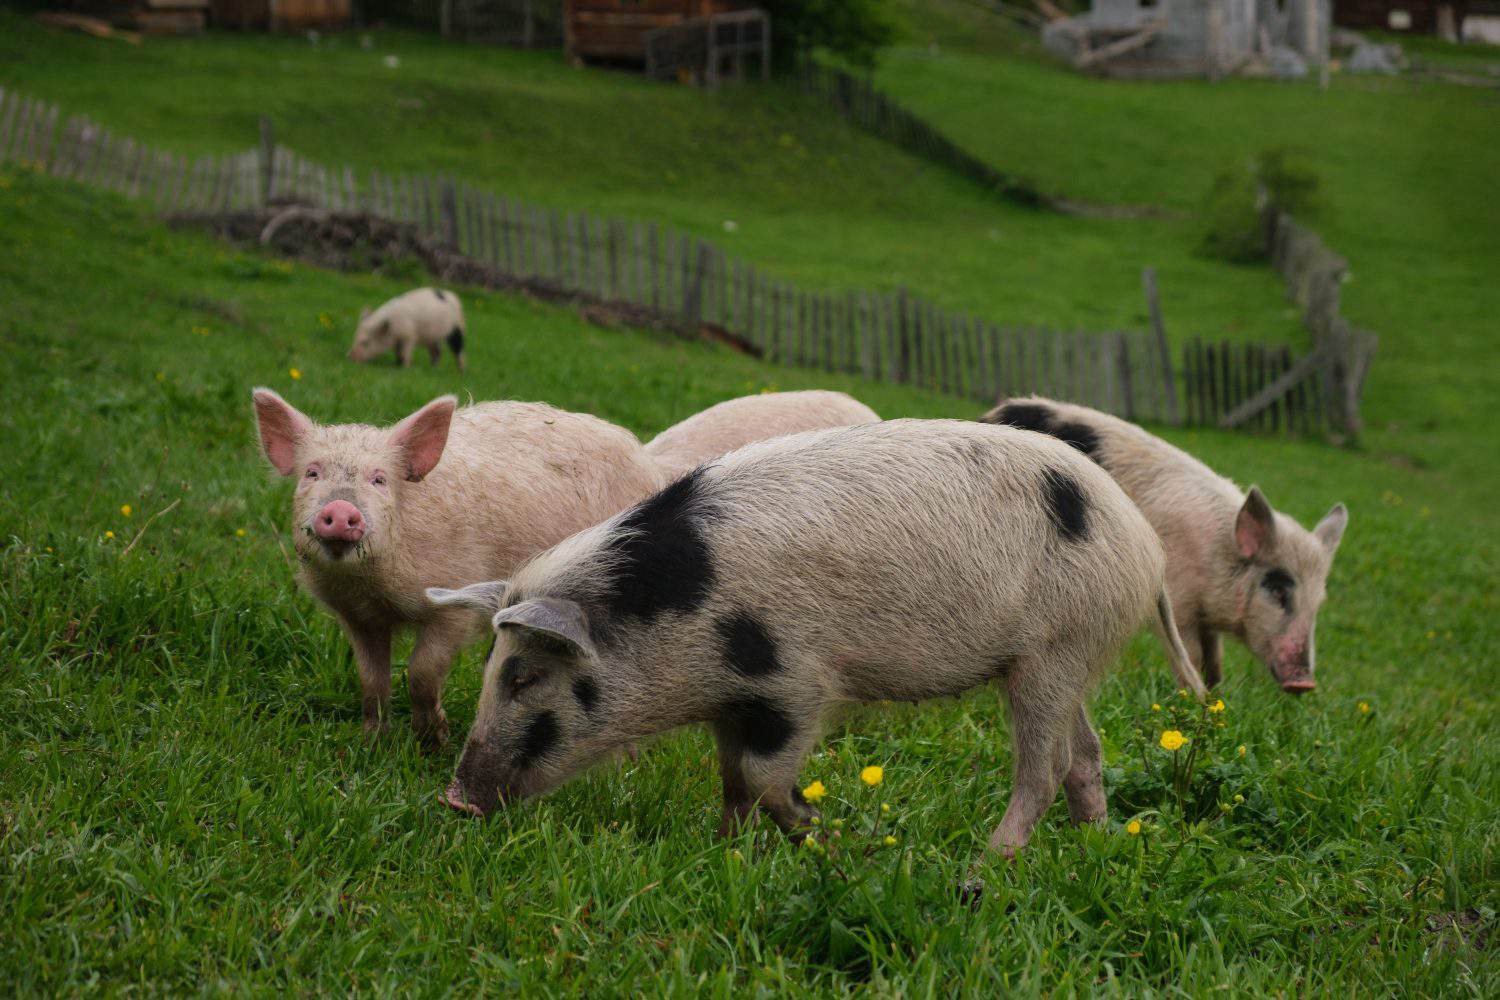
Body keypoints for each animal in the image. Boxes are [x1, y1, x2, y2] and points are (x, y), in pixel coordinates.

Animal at [250, 389, 663, 745]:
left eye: (379, 479)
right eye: (312, 473)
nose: (339, 509)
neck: (374, 589)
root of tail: (649, 462)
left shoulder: (455, 604)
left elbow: (422, 671)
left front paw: (433, 742)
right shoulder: (358, 617)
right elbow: (371, 680)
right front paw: (372, 742)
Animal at [427, 419, 1206, 857]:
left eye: (524, 676)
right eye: (493, 667)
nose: (455, 800)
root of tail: (1143, 542)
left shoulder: (793, 681)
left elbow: (765, 776)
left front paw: (833, 843)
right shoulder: (731, 698)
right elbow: (731, 780)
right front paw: (724, 855)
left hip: (1056, 648)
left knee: (1043, 768)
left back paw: (984, 872)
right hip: (1064, 657)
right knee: (1086, 752)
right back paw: (1095, 846)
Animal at [981, 397, 1348, 694]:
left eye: (1319, 600)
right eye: (1278, 589)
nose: (1304, 683)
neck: (1216, 557)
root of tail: (995, 411)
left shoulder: (1207, 619)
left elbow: (1215, 662)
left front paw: (1216, 698)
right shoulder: (1181, 603)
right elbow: (1191, 655)